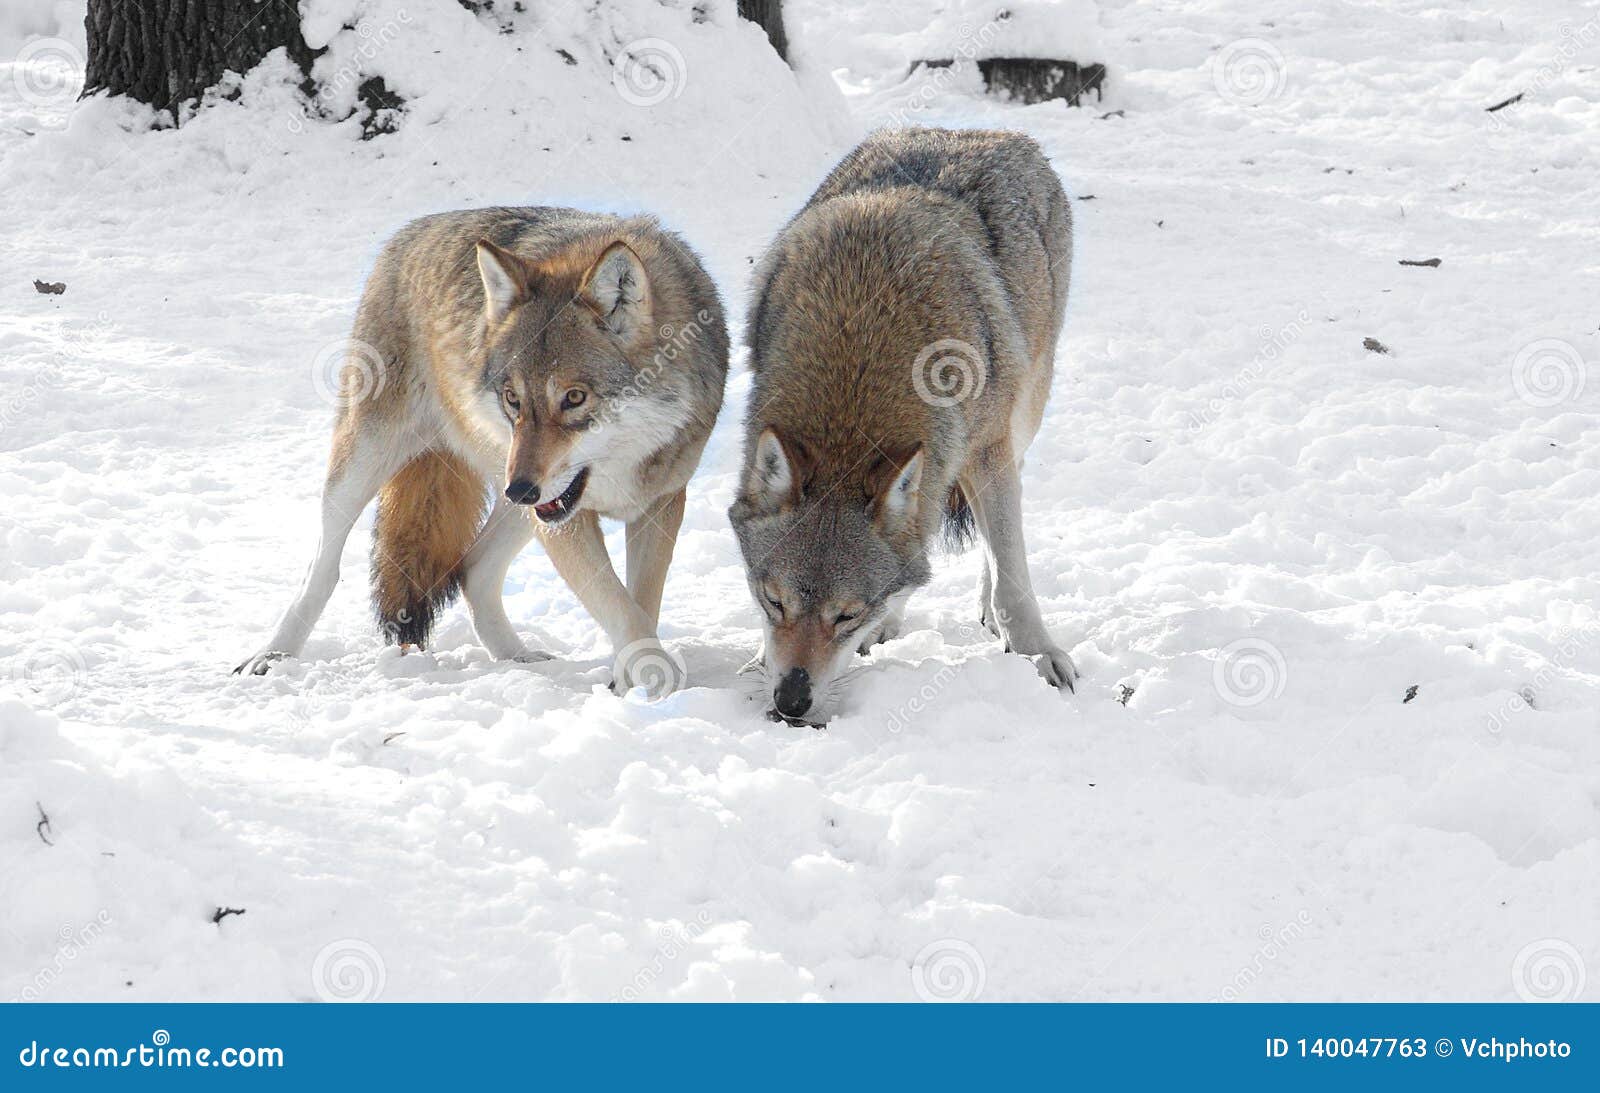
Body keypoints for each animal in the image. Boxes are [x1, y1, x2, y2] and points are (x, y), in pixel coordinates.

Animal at [237, 206, 728, 695]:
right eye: (513, 399)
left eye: (574, 398)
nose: (521, 490)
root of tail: (412, 231)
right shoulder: (566, 521)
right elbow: (622, 608)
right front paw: (653, 684)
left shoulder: (658, 505)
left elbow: (641, 604)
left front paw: (633, 686)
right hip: (367, 461)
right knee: (323, 567)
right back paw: (270, 657)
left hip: (512, 502)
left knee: (472, 569)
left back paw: (517, 657)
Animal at [730, 127, 1076, 724]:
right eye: (774, 601)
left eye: (845, 615)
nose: (792, 703)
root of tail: (994, 133)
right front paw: (761, 658)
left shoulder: (986, 446)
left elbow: (1011, 571)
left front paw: (1037, 654)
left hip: (1022, 412)